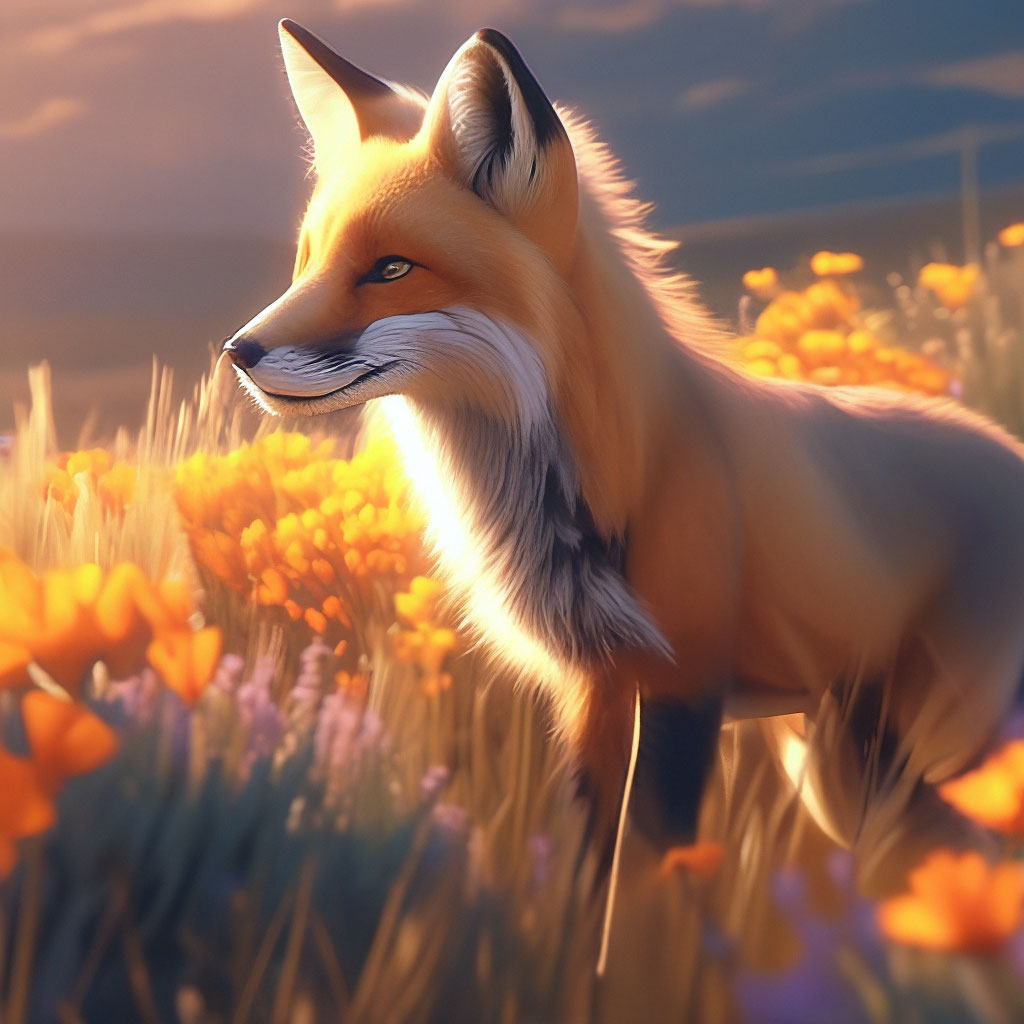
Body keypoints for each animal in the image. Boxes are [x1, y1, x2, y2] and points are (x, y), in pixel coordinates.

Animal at [224, 19, 1024, 897]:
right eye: (308, 261)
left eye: (391, 268)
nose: (238, 352)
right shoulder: (595, 693)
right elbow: (582, 887)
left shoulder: (680, 690)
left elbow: (641, 897)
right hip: (845, 771)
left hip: (934, 752)